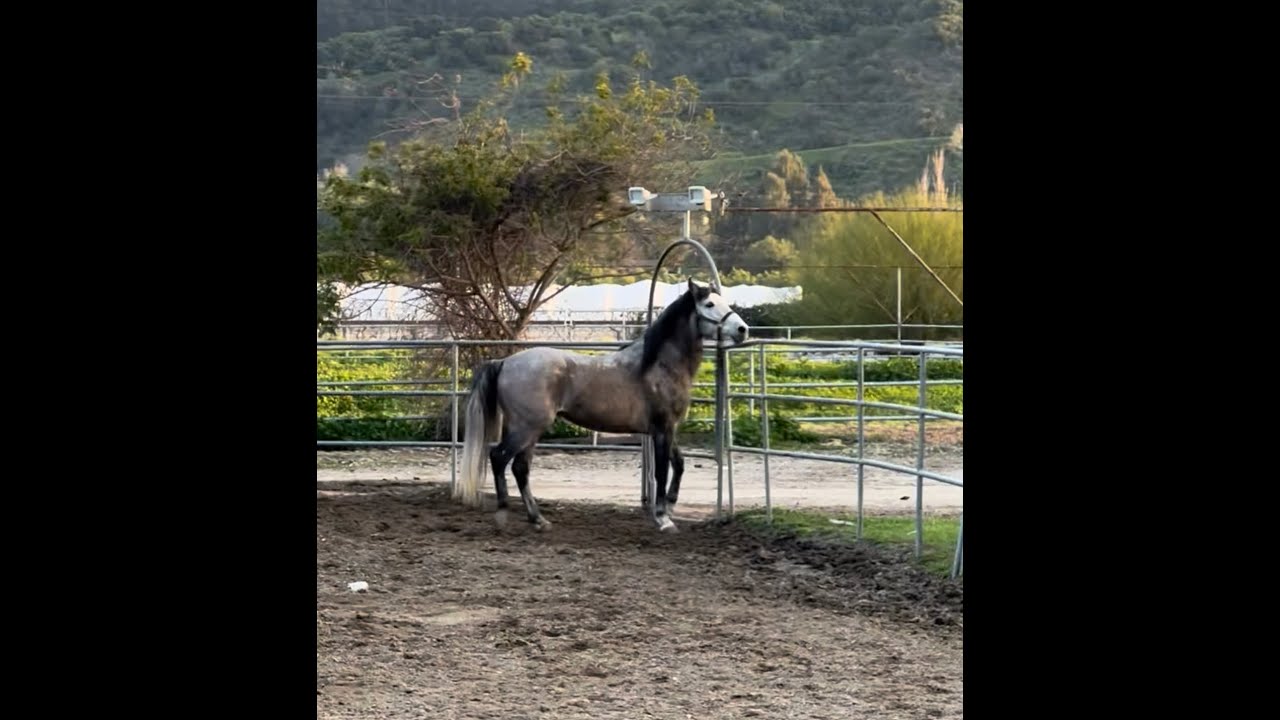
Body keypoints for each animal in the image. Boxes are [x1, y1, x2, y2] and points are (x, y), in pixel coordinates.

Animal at [453, 278, 750, 533]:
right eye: (709, 304)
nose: (743, 330)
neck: (658, 365)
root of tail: (505, 362)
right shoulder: (662, 428)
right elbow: (663, 470)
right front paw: (663, 519)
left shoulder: (666, 429)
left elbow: (679, 463)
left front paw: (672, 505)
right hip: (526, 428)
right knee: (499, 458)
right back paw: (503, 515)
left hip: (527, 429)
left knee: (519, 468)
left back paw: (538, 519)